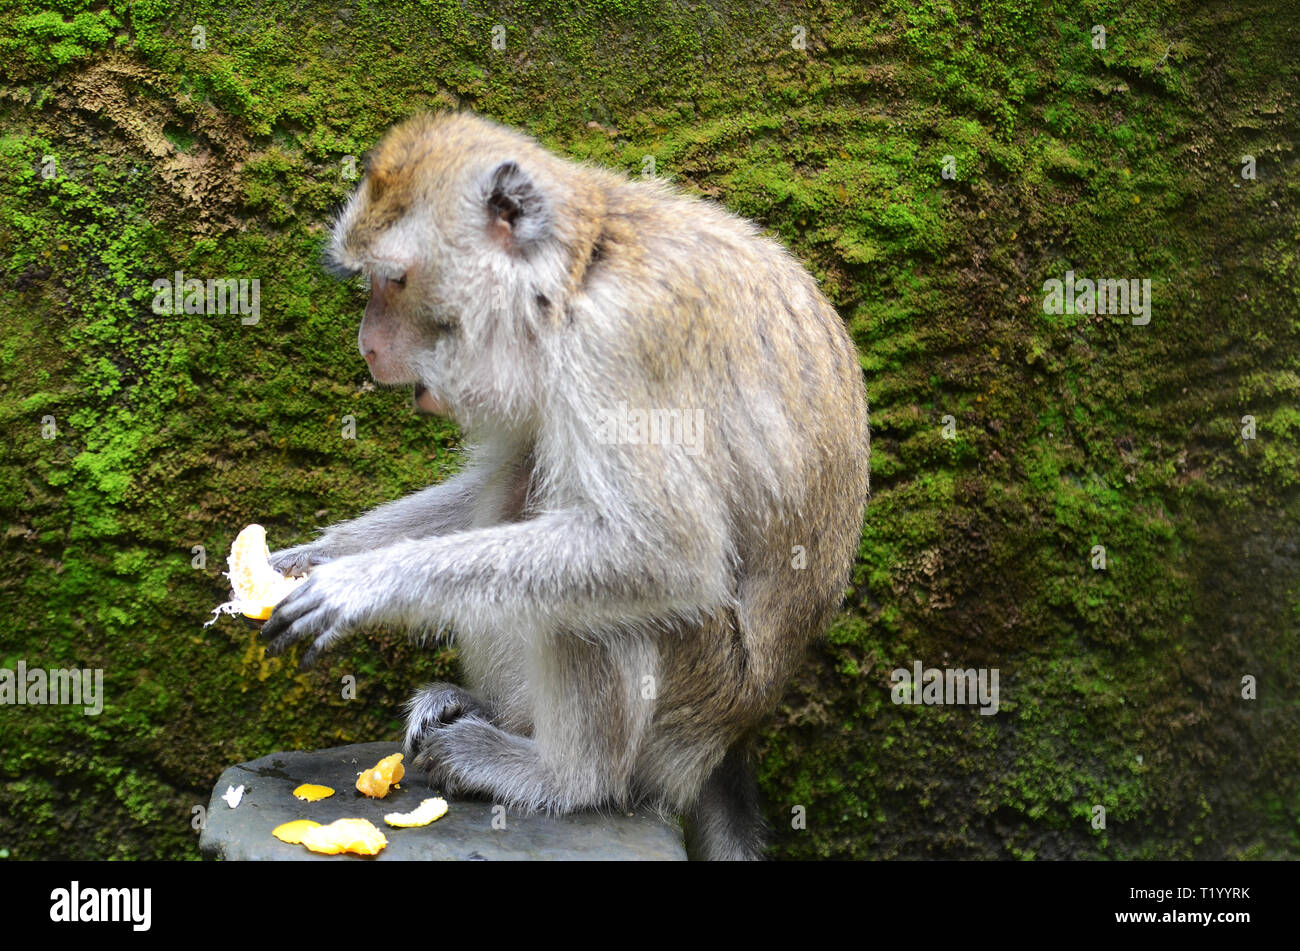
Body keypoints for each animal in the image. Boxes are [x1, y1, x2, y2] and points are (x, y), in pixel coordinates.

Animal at [260, 112, 870, 860]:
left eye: (394, 280)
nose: (366, 345)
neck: (575, 274)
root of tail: (735, 734)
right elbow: (493, 478)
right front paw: (301, 560)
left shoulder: (617, 346)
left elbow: (664, 553)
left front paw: (364, 584)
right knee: (521, 482)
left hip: (692, 697)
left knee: (601, 593)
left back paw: (563, 774)